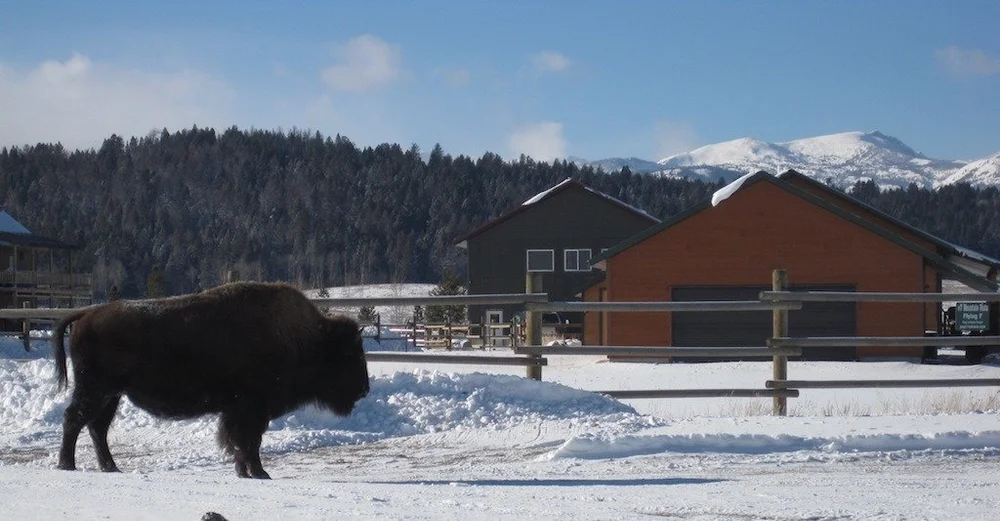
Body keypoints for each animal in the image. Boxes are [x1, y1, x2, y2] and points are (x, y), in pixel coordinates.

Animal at [52, 281, 370, 479]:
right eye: (351, 356)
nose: (365, 389)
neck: (305, 339)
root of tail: (87, 314)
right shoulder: (250, 411)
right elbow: (248, 442)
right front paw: (260, 473)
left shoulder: (241, 412)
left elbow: (244, 442)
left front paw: (246, 472)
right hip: (96, 389)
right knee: (75, 419)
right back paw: (67, 465)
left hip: (111, 395)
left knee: (96, 427)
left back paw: (110, 468)